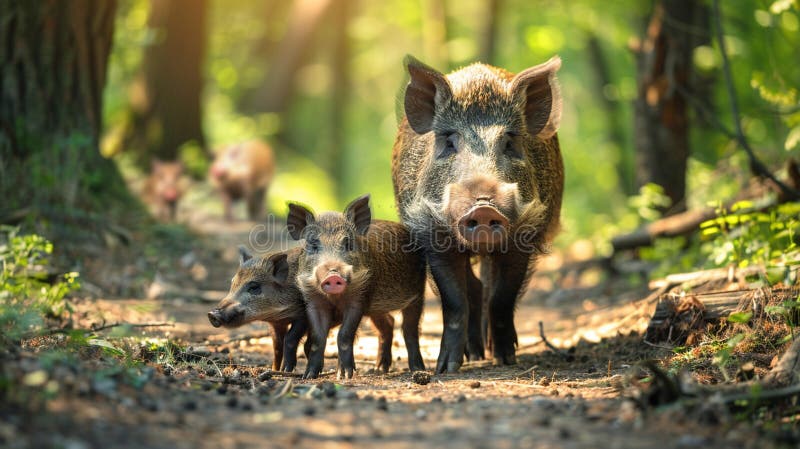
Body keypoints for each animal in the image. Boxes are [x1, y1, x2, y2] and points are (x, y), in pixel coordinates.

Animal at [287, 194, 427, 379]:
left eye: (348, 244)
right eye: (313, 244)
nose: (333, 275)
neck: (335, 298)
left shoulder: (360, 298)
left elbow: (344, 335)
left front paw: (345, 376)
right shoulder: (313, 302)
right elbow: (318, 338)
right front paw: (309, 376)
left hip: (418, 293)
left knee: (409, 329)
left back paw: (418, 369)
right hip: (376, 309)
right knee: (388, 324)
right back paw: (378, 370)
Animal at [391, 55, 564, 373]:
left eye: (509, 142)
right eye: (449, 142)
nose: (483, 206)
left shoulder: (524, 236)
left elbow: (501, 298)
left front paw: (506, 360)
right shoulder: (432, 235)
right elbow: (455, 301)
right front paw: (446, 368)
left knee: (486, 288)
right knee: (474, 288)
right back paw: (473, 355)